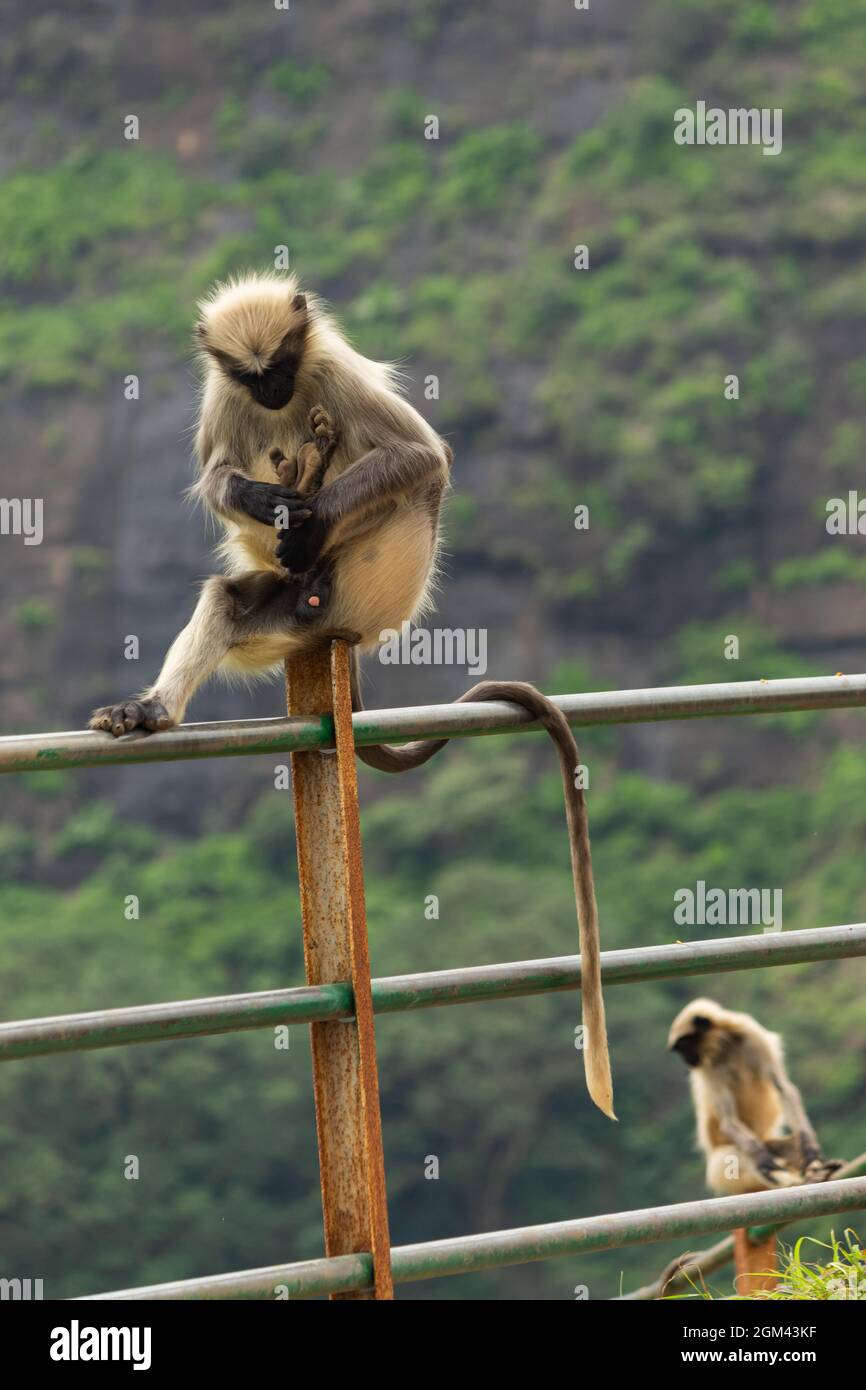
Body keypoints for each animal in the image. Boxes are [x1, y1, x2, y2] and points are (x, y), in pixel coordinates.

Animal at [88, 271, 614, 1119]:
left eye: (282, 365)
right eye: (253, 376)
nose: (274, 392)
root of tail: (341, 625)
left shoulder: (330, 375)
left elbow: (420, 454)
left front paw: (303, 516)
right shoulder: (225, 400)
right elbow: (217, 478)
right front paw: (257, 497)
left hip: (382, 579)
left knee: (415, 483)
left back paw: (310, 530)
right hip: (285, 613)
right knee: (232, 595)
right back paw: (158, 706)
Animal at [668, 998, 842, 1195]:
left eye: (684, 1046)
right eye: (680, 1049)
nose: (686, 1060)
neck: (725, 1046)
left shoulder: (754, 1036)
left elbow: (784, 1089)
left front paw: (810, 1148)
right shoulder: (708, 1067)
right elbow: (728, 1121)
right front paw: (764, 1161)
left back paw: (815, 1172)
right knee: (731, 1157)